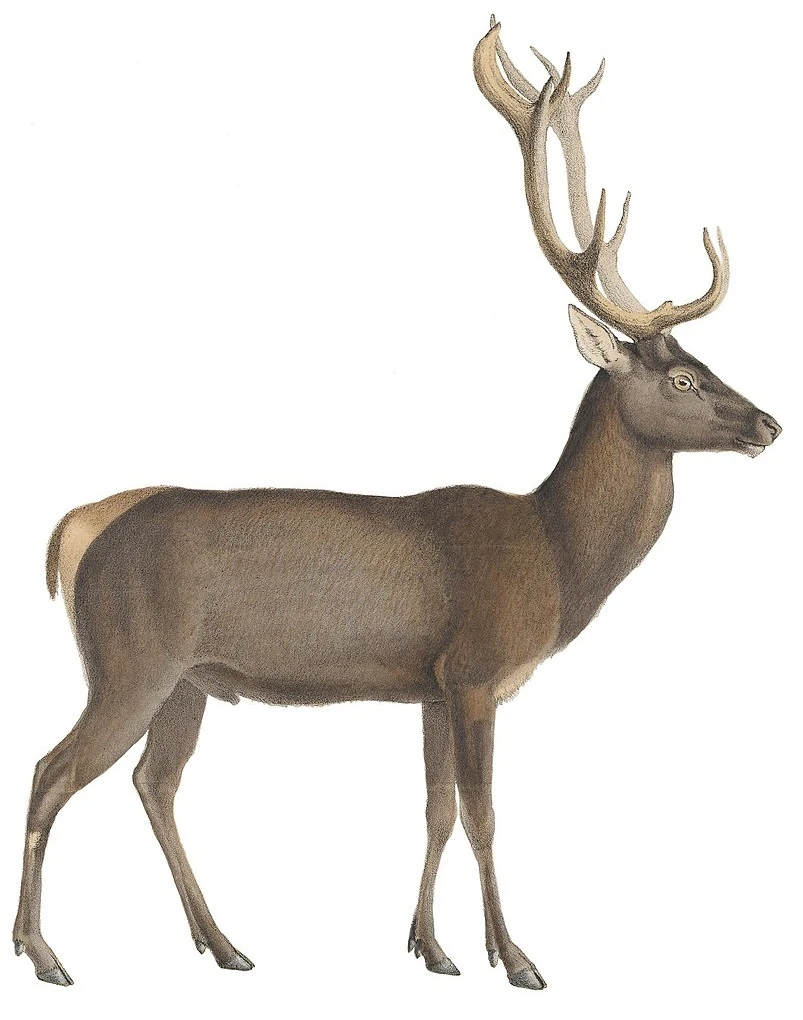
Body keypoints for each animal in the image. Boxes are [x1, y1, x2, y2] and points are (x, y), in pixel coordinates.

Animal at [13, 19, 781, 992]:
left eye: (708, 365)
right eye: (681, 378)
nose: (766, 422)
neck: (555, 558)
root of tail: (73, 530)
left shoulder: (429, 684)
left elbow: (435, 810)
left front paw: (432, 948)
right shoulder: (478, 670)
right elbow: (483, 813)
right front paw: (515, 958)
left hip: (185, 678)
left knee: (152, 783)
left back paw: (223, 943)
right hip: (128, 659)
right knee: (51, 770)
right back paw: (44, 954)